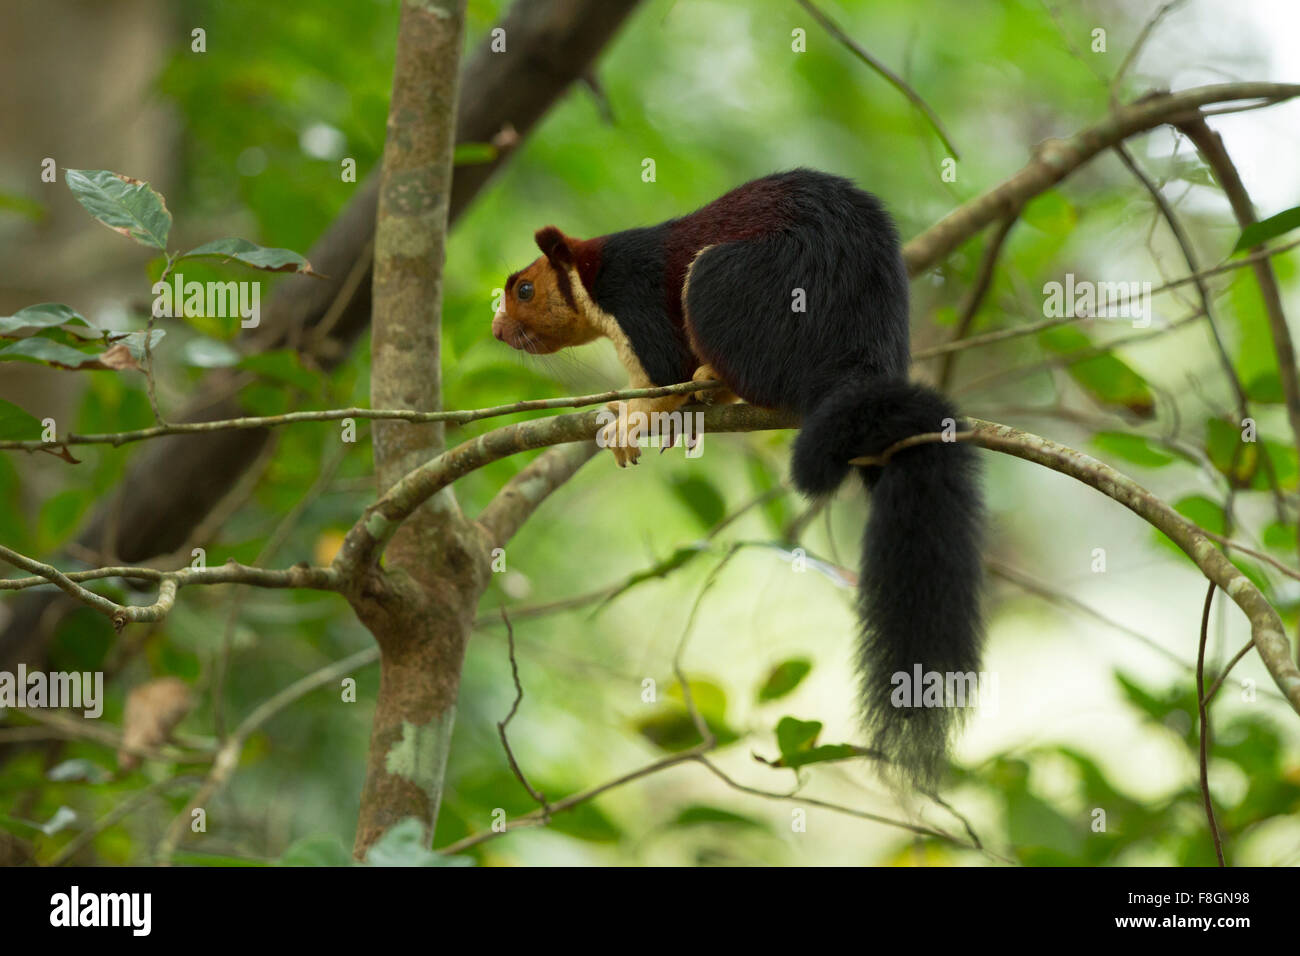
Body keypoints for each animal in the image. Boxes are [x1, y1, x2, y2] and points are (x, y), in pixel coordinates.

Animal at [493, 168, 984, 789]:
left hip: (732, 284)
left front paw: (633, 418)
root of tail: (864, 354)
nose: (497, 329)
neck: (594, 274)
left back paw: (718, 381)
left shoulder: (636, 304)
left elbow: (665, 376)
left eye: (524, 290)